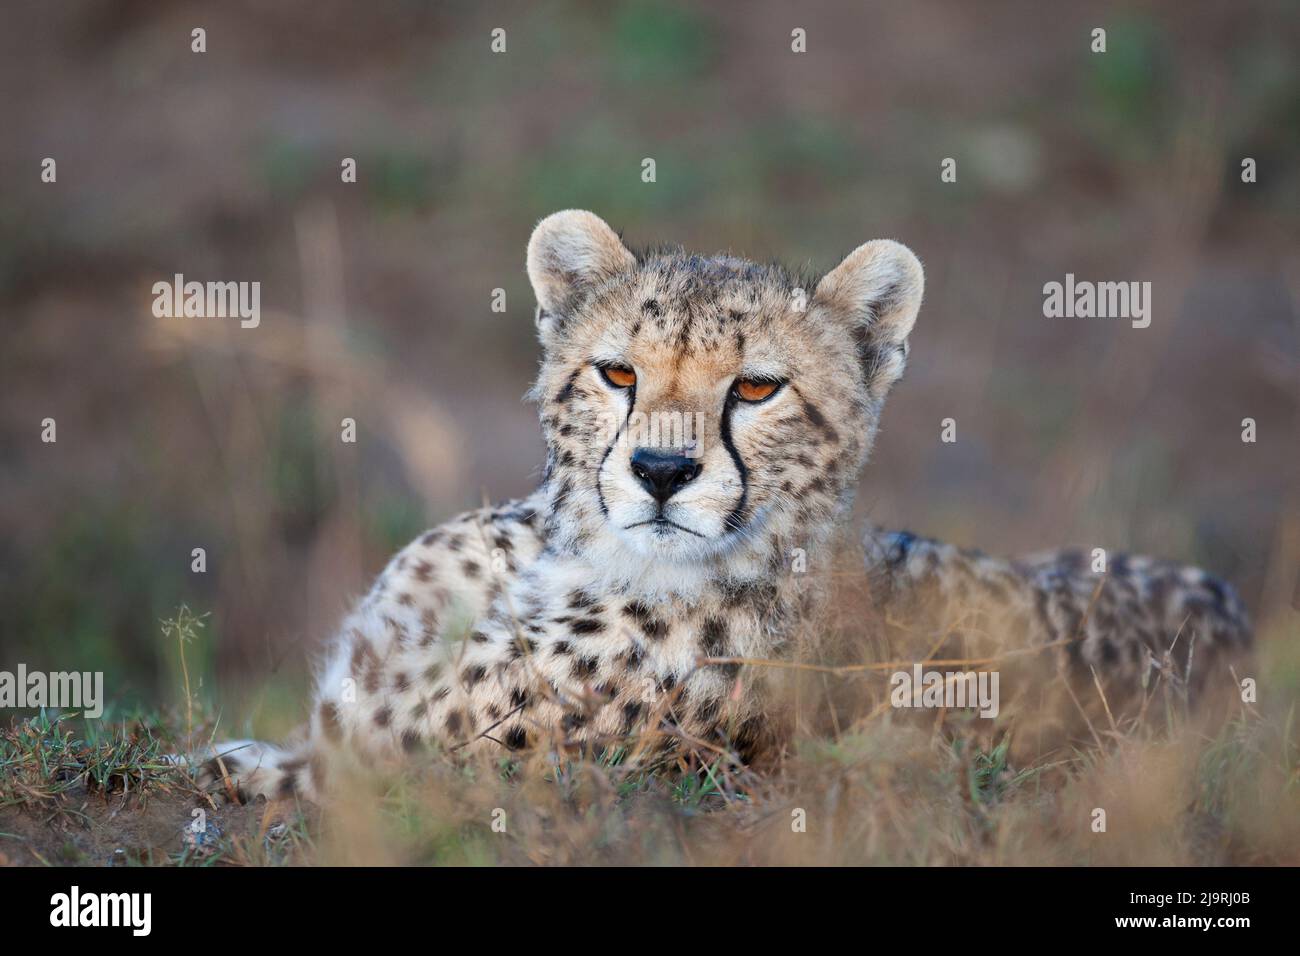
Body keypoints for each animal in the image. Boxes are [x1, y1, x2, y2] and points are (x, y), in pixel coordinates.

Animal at [197, 210, 1251, 803]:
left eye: (755, 389)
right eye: (618, 372)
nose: (663, 469)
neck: (567, 558)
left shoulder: (409, 761)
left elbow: (317, 767)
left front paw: (242, 770)